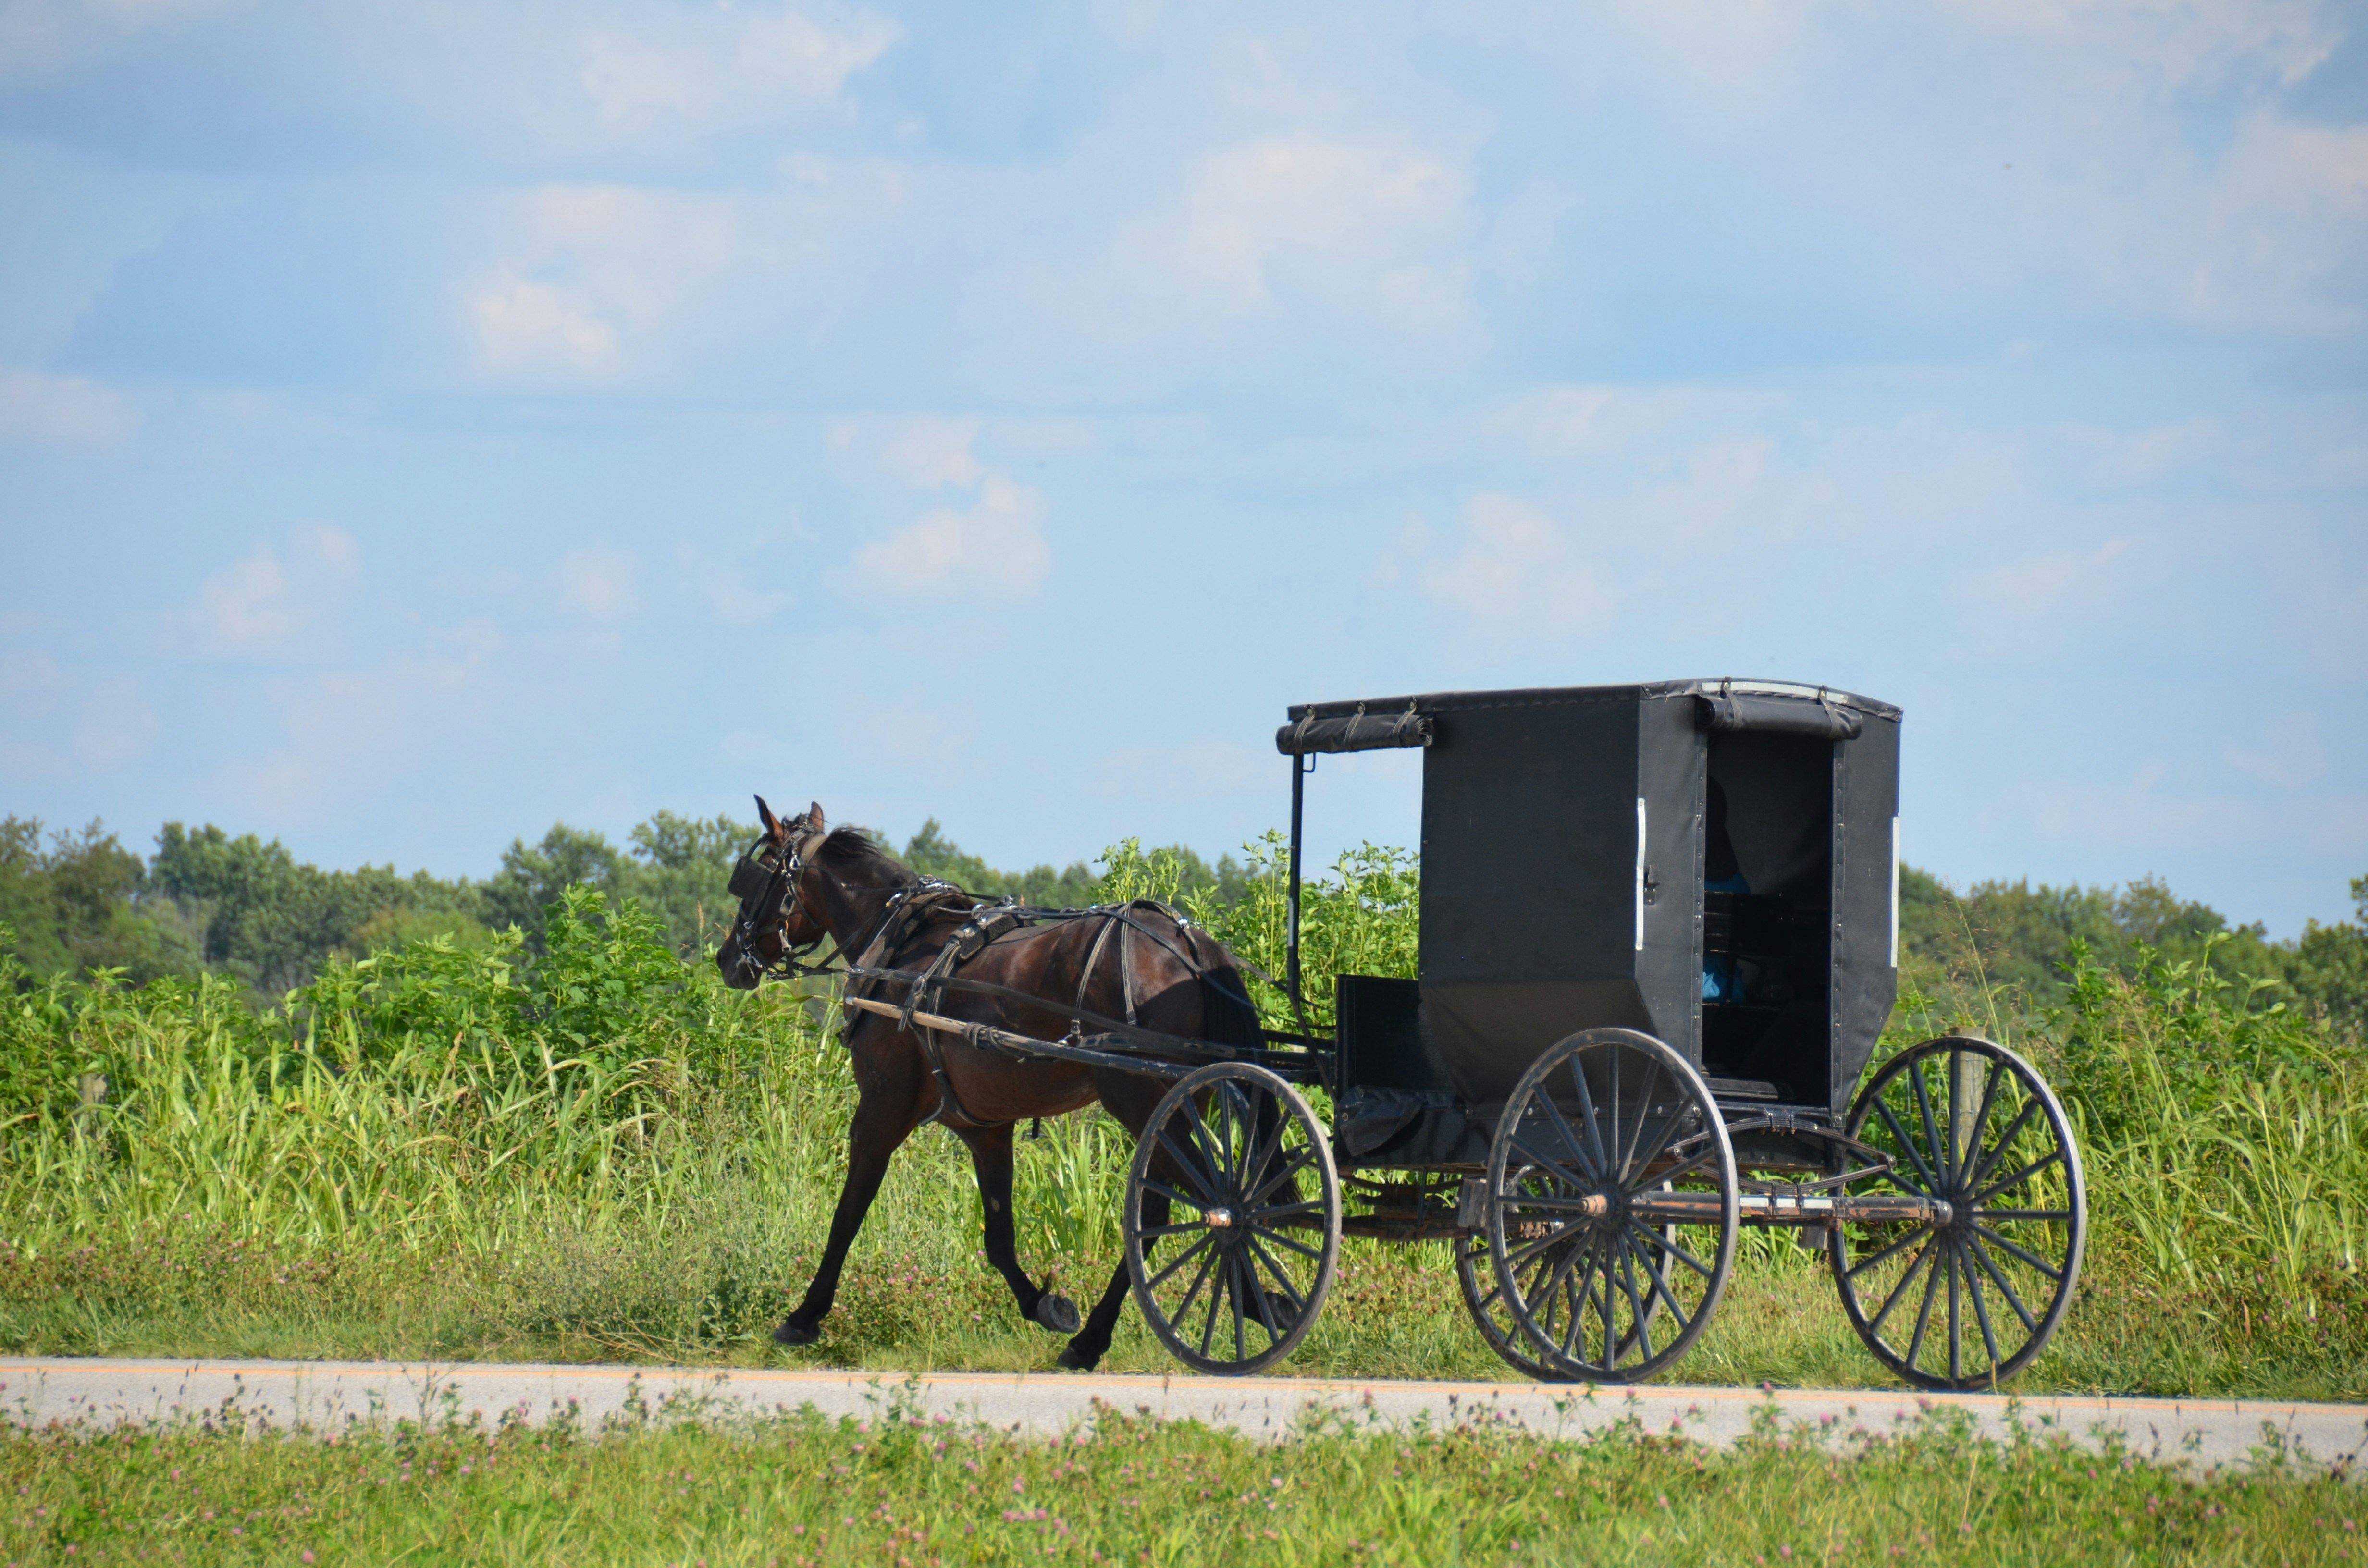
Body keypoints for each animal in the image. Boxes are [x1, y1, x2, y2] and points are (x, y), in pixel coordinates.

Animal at [715, 797, 1262, 1370]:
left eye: (755, 874)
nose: (727, 959)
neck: (902, 949)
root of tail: (1187, 942)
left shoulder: (881, 1109)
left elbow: (847, 1213)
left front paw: (805, 1315)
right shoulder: (986, 1129)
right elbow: (999, 1237)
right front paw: (1043, 1304)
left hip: (1139, 1099)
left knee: (1192, 1205)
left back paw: (1104, 1336)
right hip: (1184, 1099)